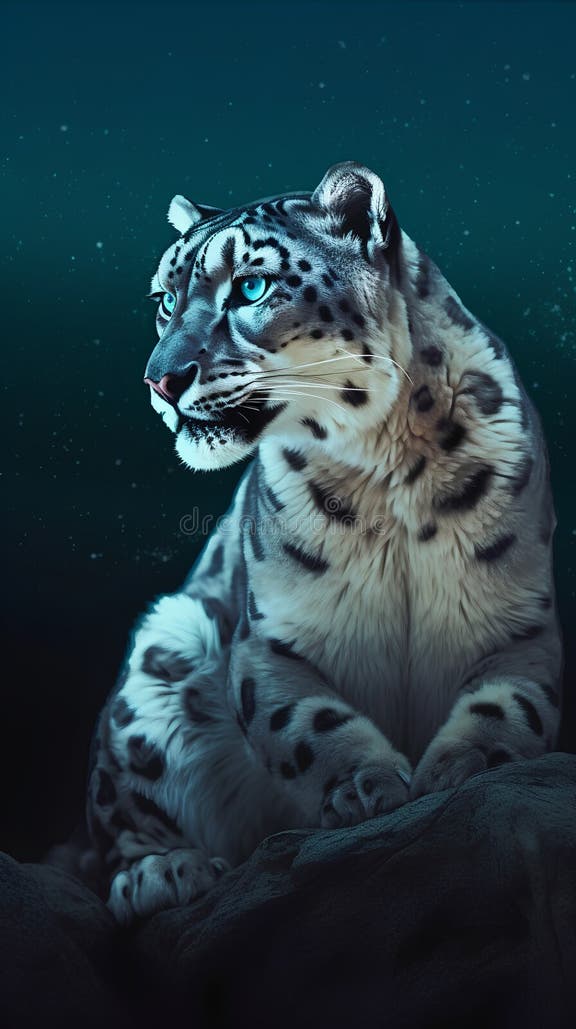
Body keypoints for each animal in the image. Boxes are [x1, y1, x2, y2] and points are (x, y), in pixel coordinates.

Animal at [86, 161, 563, 924]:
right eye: (164, 299)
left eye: (250, 286)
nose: (160, 379)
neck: (390, 464)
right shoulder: (273, 637)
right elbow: (305, 720)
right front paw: (368, 785)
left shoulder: (517, 622)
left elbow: (510, 705)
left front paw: (458, 767)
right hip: (164, 650)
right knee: (120, 810)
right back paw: (163, 873)